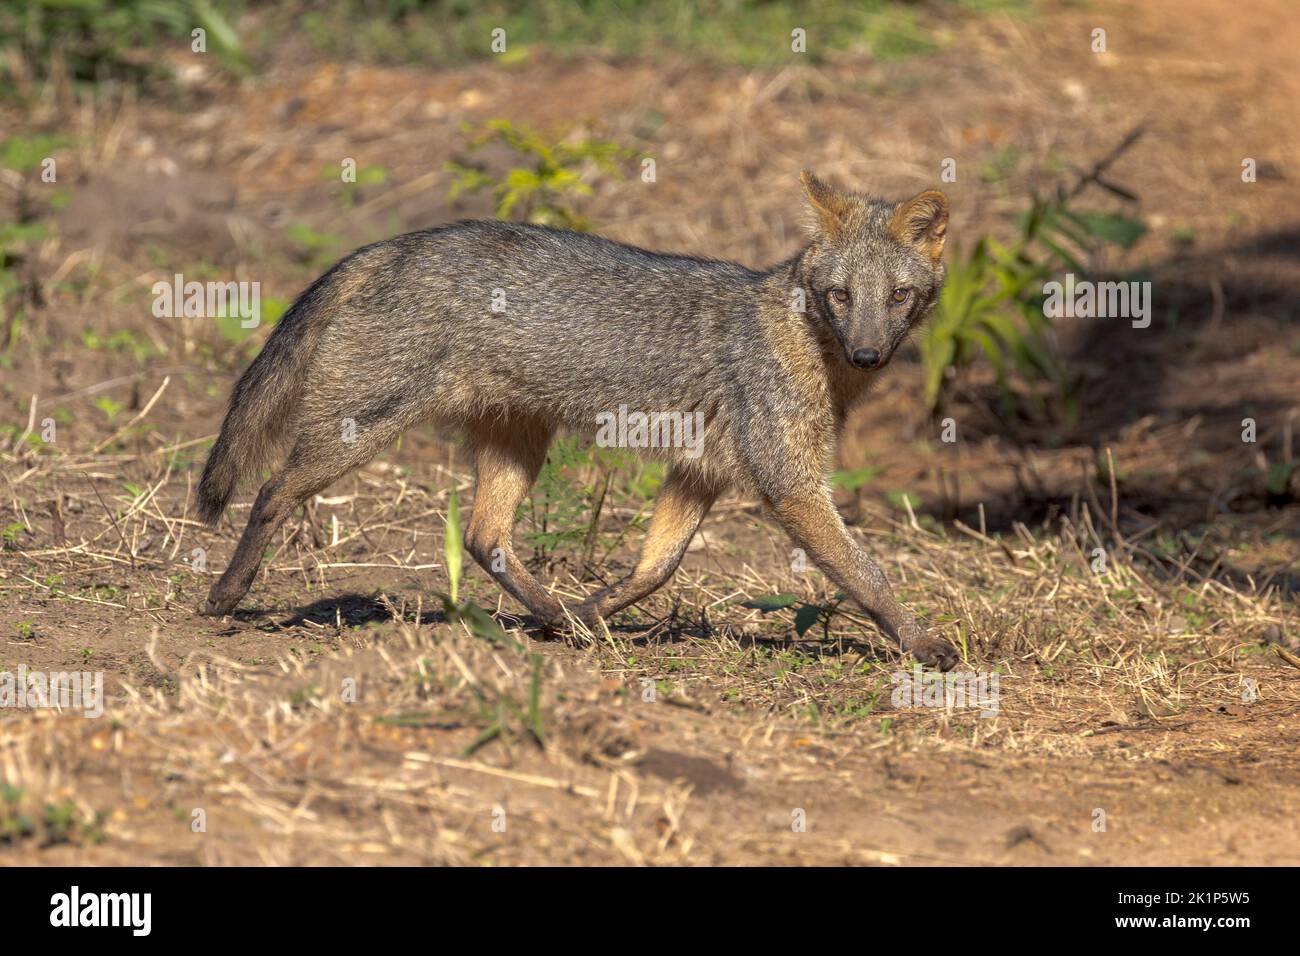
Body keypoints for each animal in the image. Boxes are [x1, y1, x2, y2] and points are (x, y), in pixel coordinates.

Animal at [197, 170, 960, 670]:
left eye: (897, 296)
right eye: (841, 295)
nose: (868, 354)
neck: (803, 339)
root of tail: (389, 246)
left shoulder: (699, 471)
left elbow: (656, 569)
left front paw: (588, 615)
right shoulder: (790, 485)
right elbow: (866, 573)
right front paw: (923, 644)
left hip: (518, 447)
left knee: (484, 538)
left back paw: (556, 619)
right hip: (360, 433)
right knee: (272, 491)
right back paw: (225, 596)